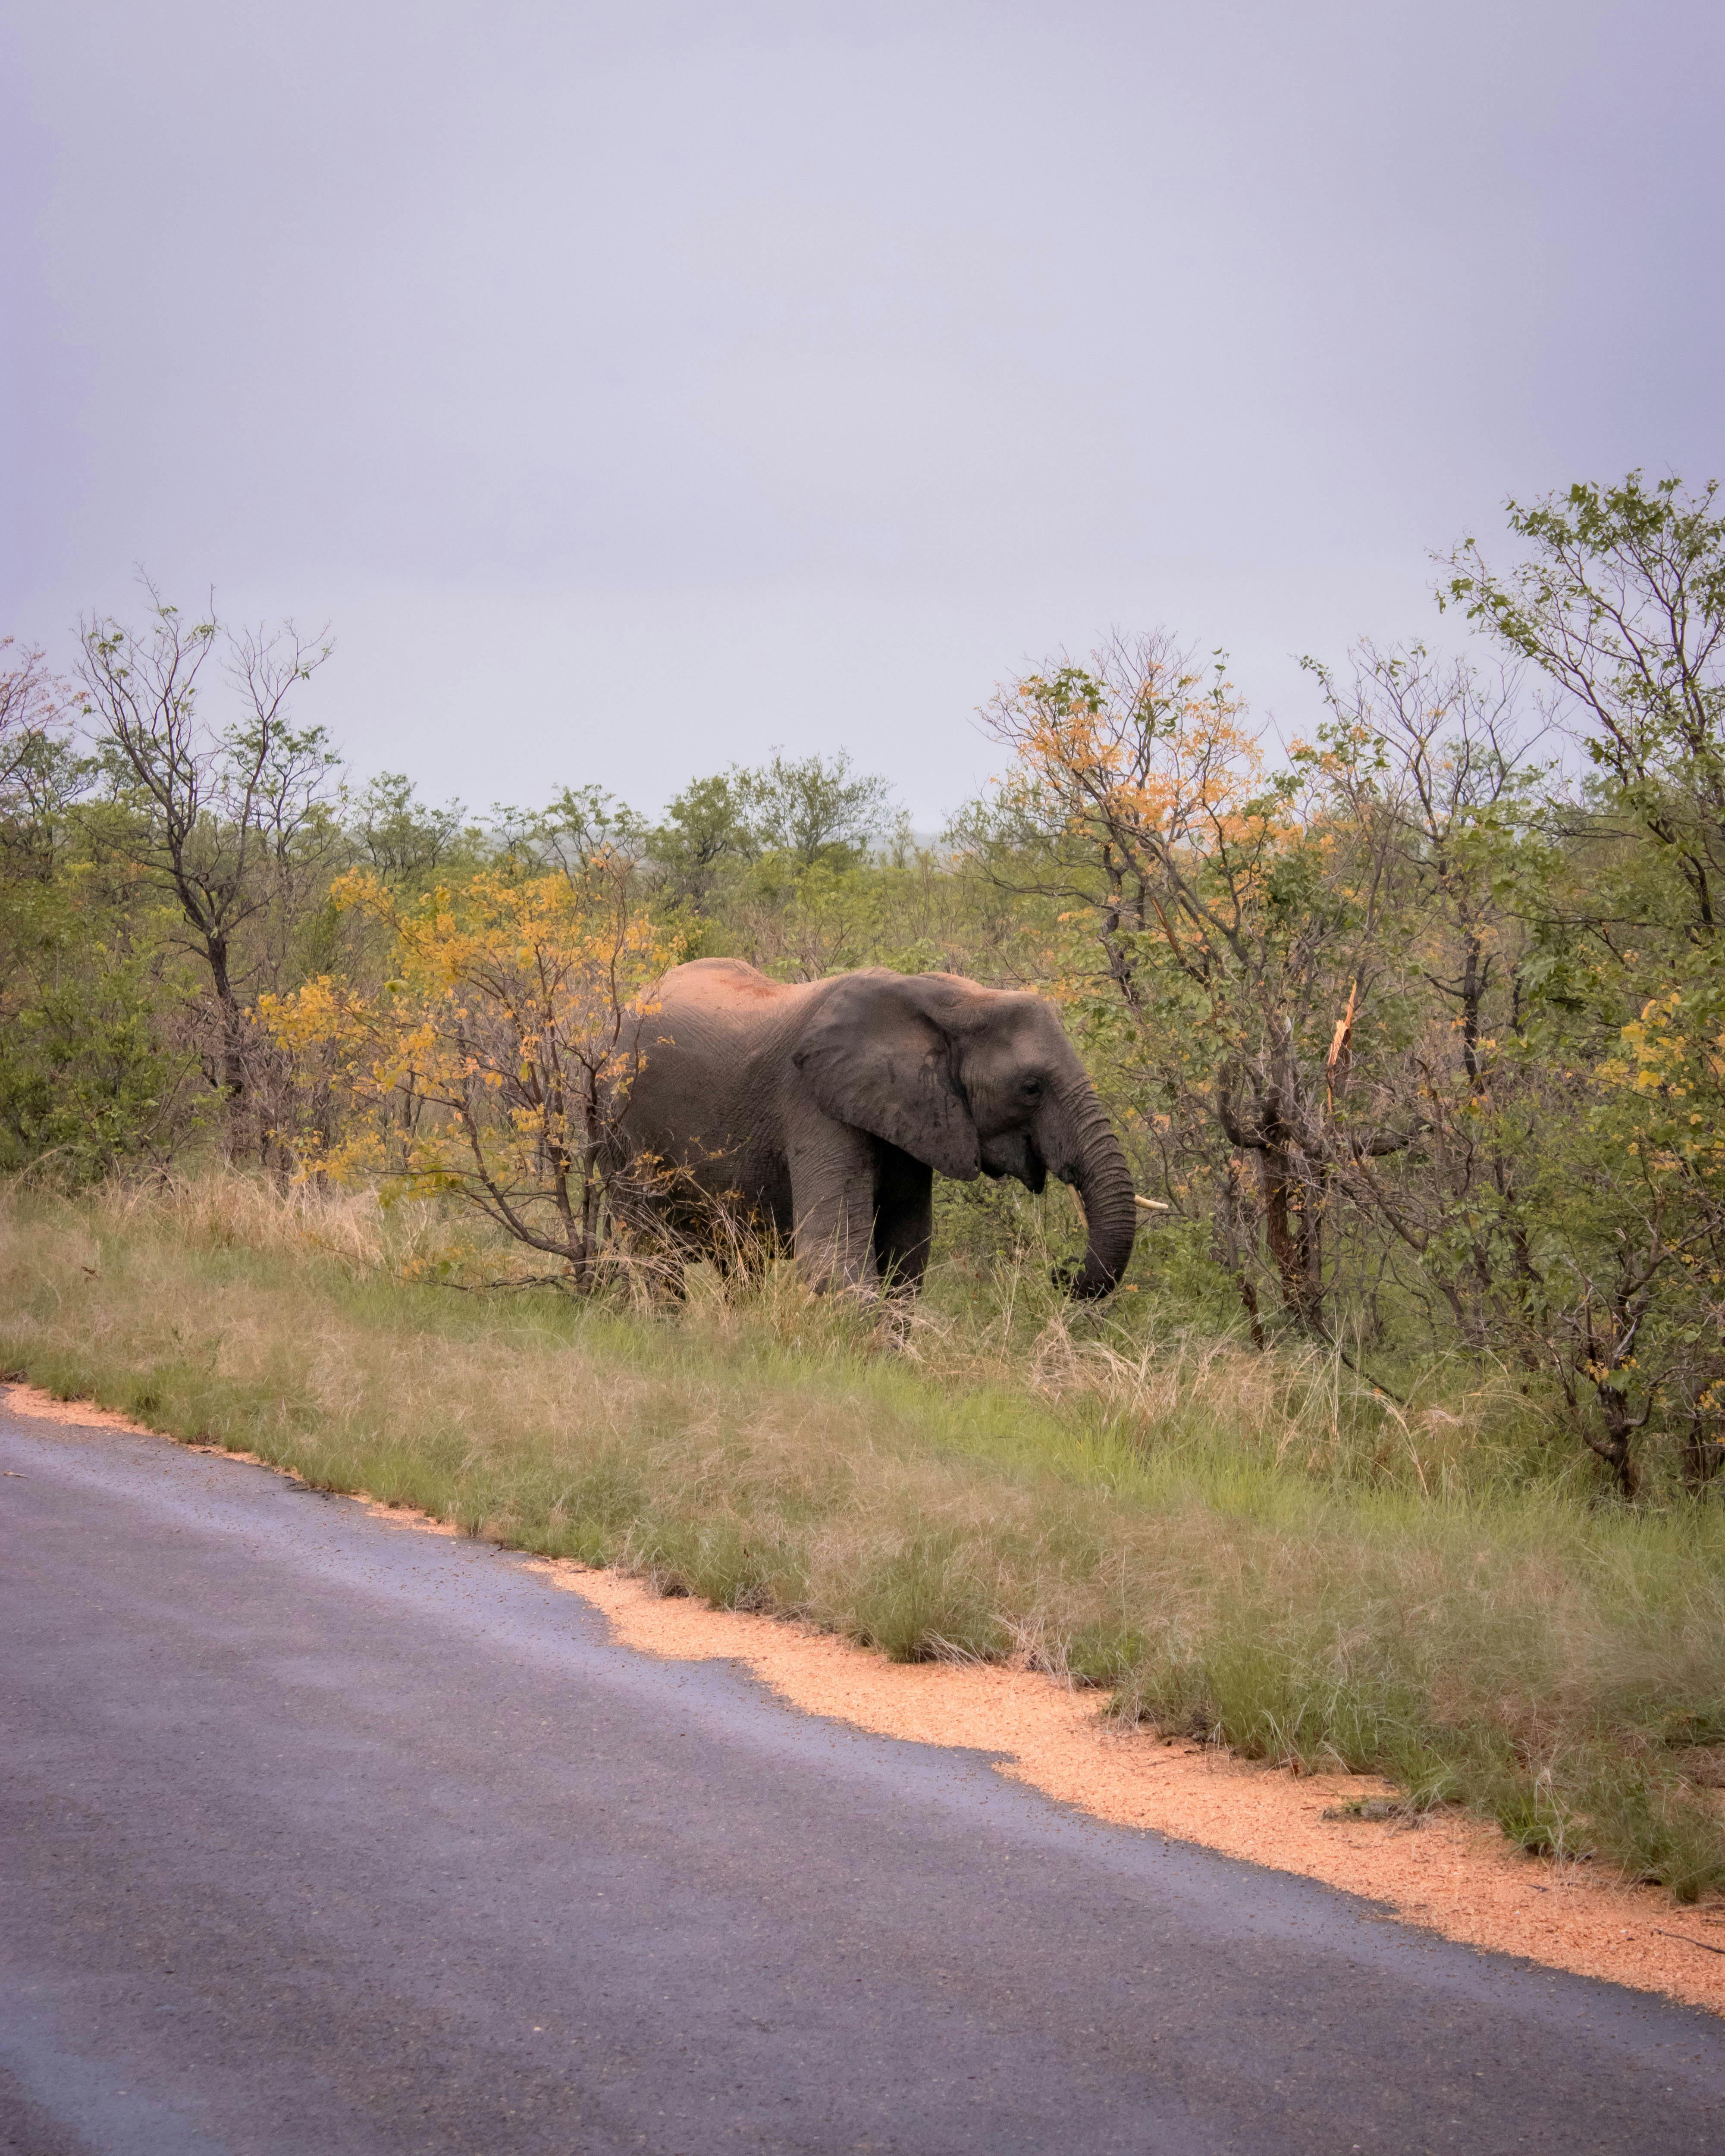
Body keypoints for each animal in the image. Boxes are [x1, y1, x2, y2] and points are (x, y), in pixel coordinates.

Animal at [616, 959, 1137, 1296]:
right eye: (1031, 1088)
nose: (1061, 1275)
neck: (951, 999)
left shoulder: (914, 1115)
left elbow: (907, 1253)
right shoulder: (812, 1103)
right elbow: (835, 1255)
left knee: (740, 1260)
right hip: (620, 1119)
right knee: (652, 1247)